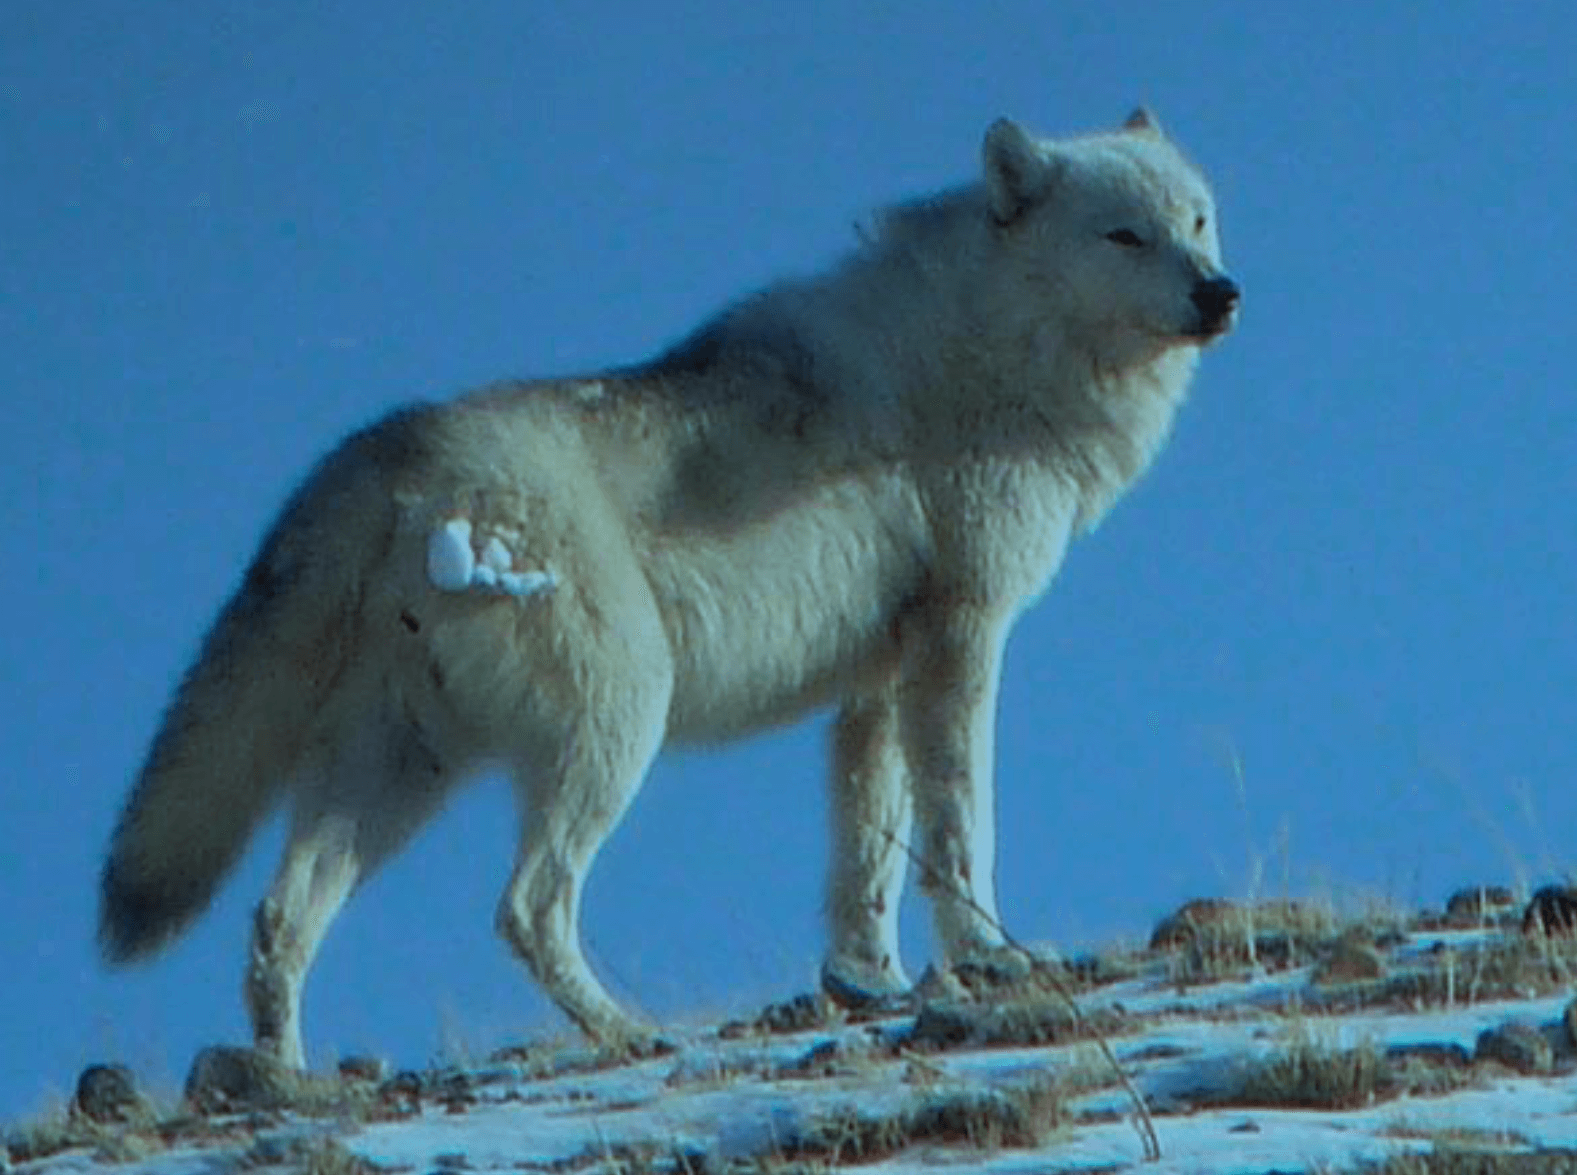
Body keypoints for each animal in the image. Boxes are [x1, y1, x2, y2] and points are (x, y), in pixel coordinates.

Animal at [100, 109, 1238, 1068]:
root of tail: (391, 453)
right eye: (1122, 236)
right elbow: (960, 825)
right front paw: (990, 959)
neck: (990, 351)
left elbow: (864, 853)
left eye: (1194, 221)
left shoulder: (874, 681)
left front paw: (869, 981)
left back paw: (286, 1079)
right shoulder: (963, 637)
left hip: (400, 778)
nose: (1219, 294)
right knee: (524, 907)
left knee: (278, 920)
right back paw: (623, 1028)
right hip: (615, 726)